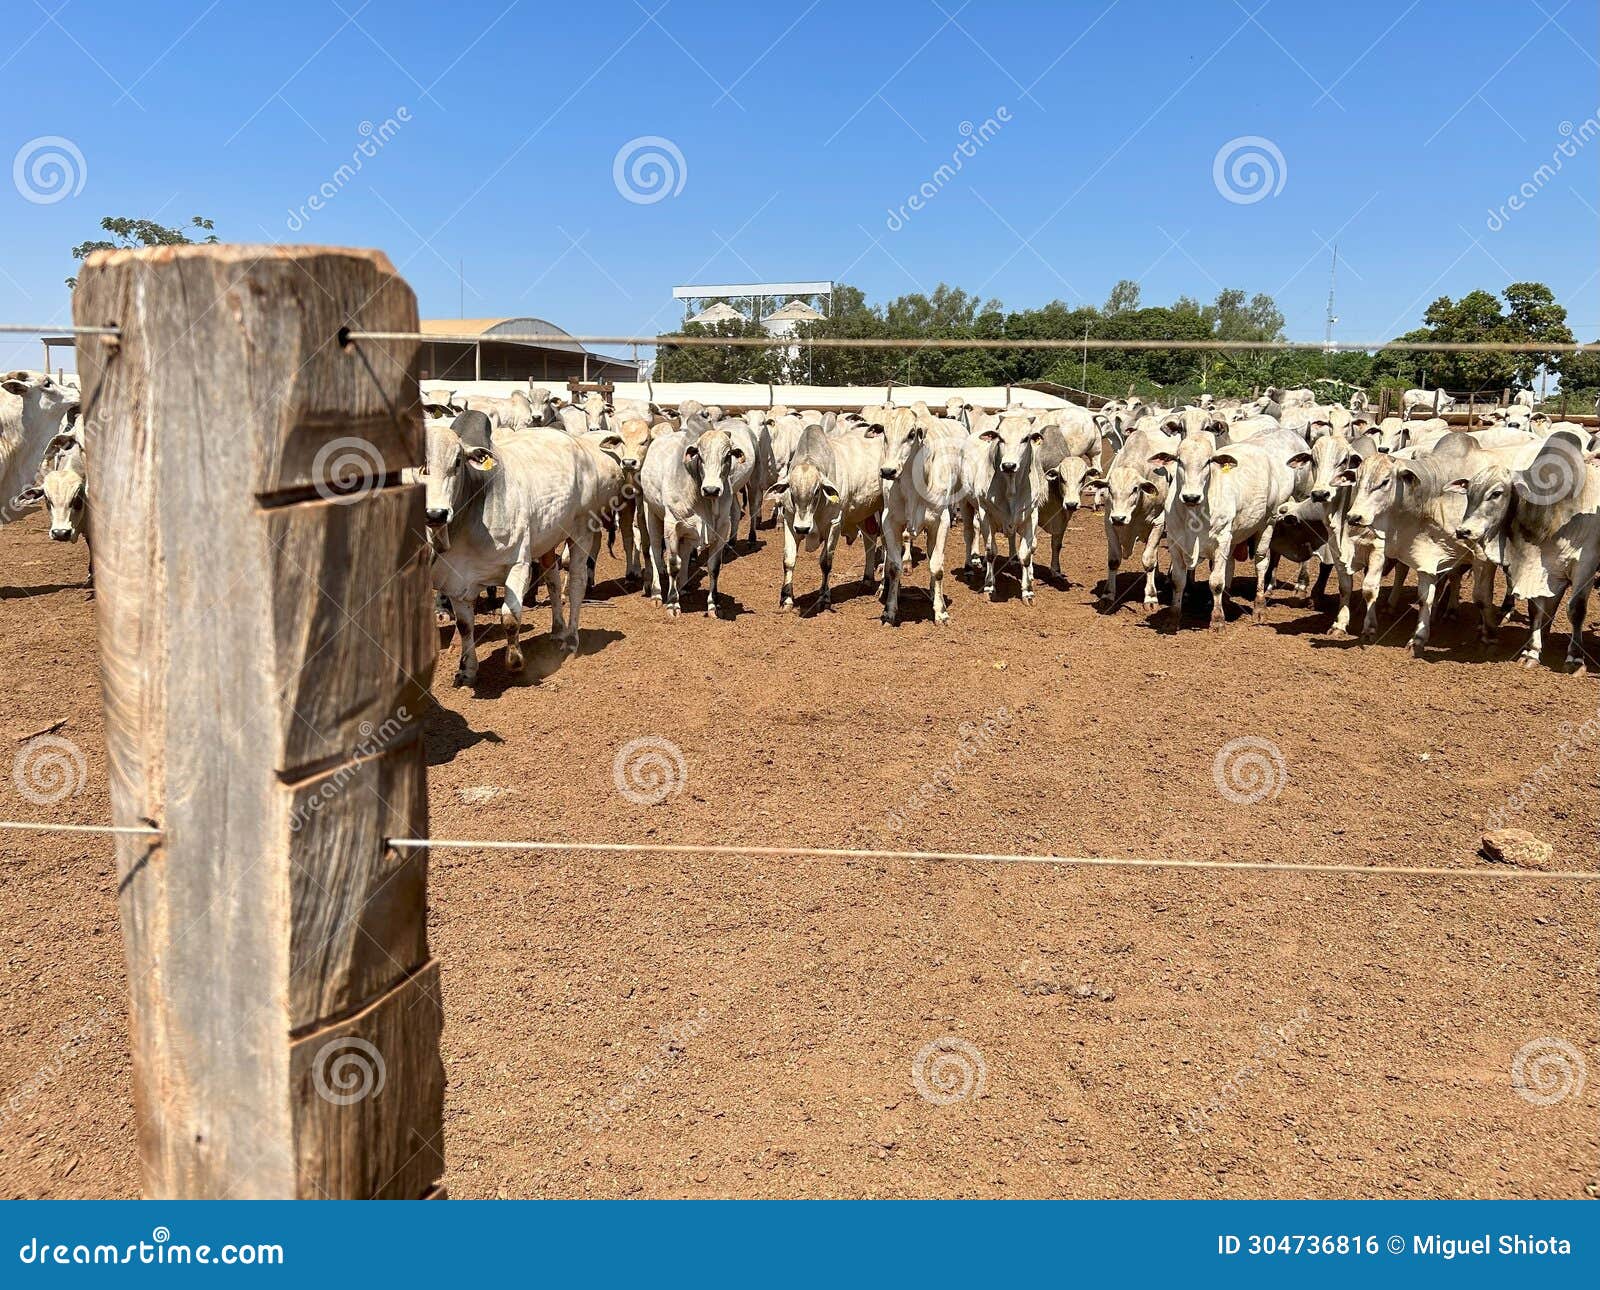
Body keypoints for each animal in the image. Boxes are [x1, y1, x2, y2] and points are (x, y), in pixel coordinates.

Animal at [639, 419, 745, 618]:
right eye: (700, 456)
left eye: (727, 455)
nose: (711, 489)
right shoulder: (671, 525)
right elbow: (673, 563)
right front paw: (673, 603)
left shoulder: (722, 529)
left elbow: (713, 567)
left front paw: (713, 605)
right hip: (651, 513)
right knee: (654, 551)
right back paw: (657, 593)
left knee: (686, 553)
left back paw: (683, 587)